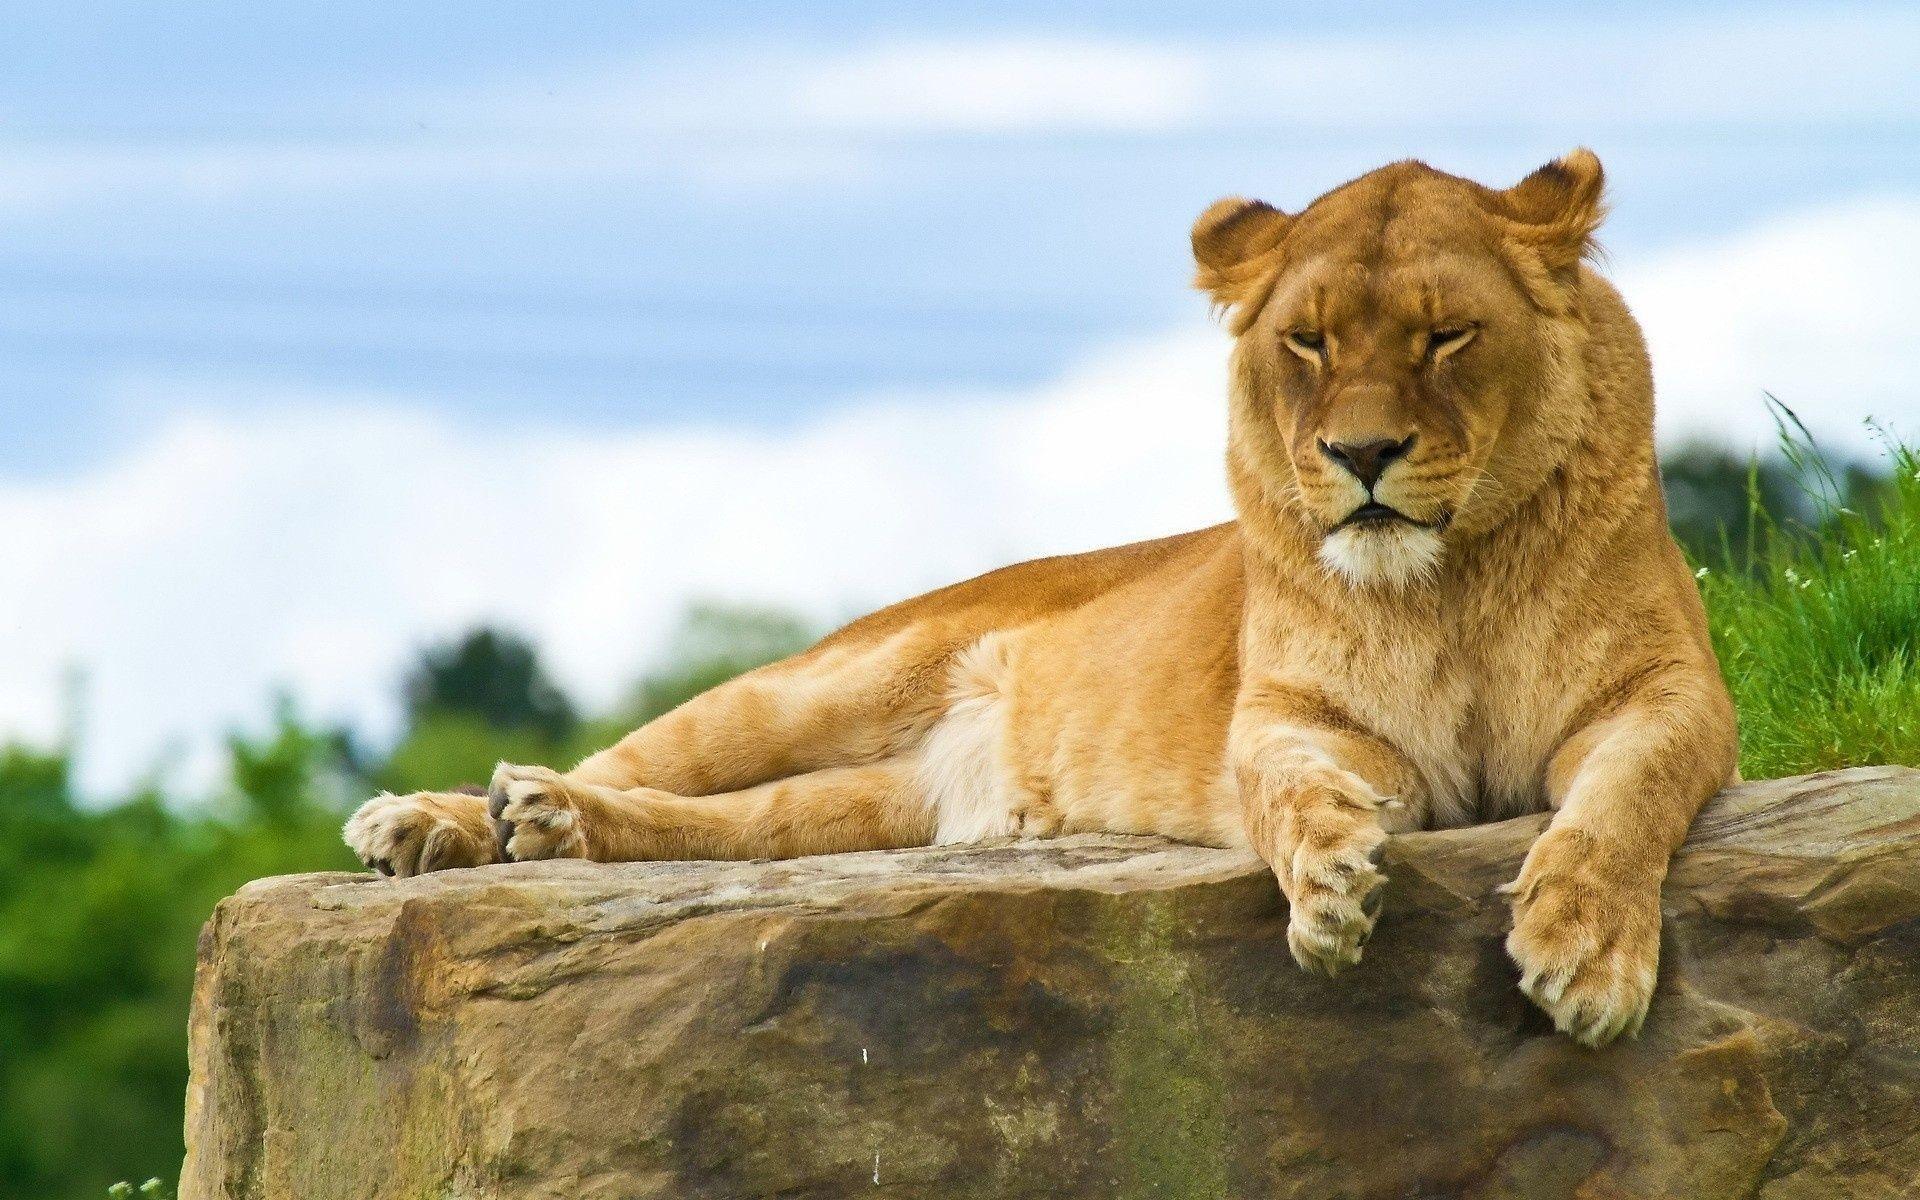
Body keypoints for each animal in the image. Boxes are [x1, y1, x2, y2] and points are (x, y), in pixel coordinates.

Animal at [345, 150, 1738, 1046]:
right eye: (1309, 343)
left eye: (1448, 337)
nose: (1362, 455)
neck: (1448, 586)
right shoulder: (1288, 719)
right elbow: (1287, 791)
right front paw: (1332, 884)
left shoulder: (1673, 695)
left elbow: (1622, 803)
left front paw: (1585, 953)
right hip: (827, 681)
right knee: (641, 757)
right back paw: (445, 820)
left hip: (876, 810)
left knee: (721, 828)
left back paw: (544, 828)